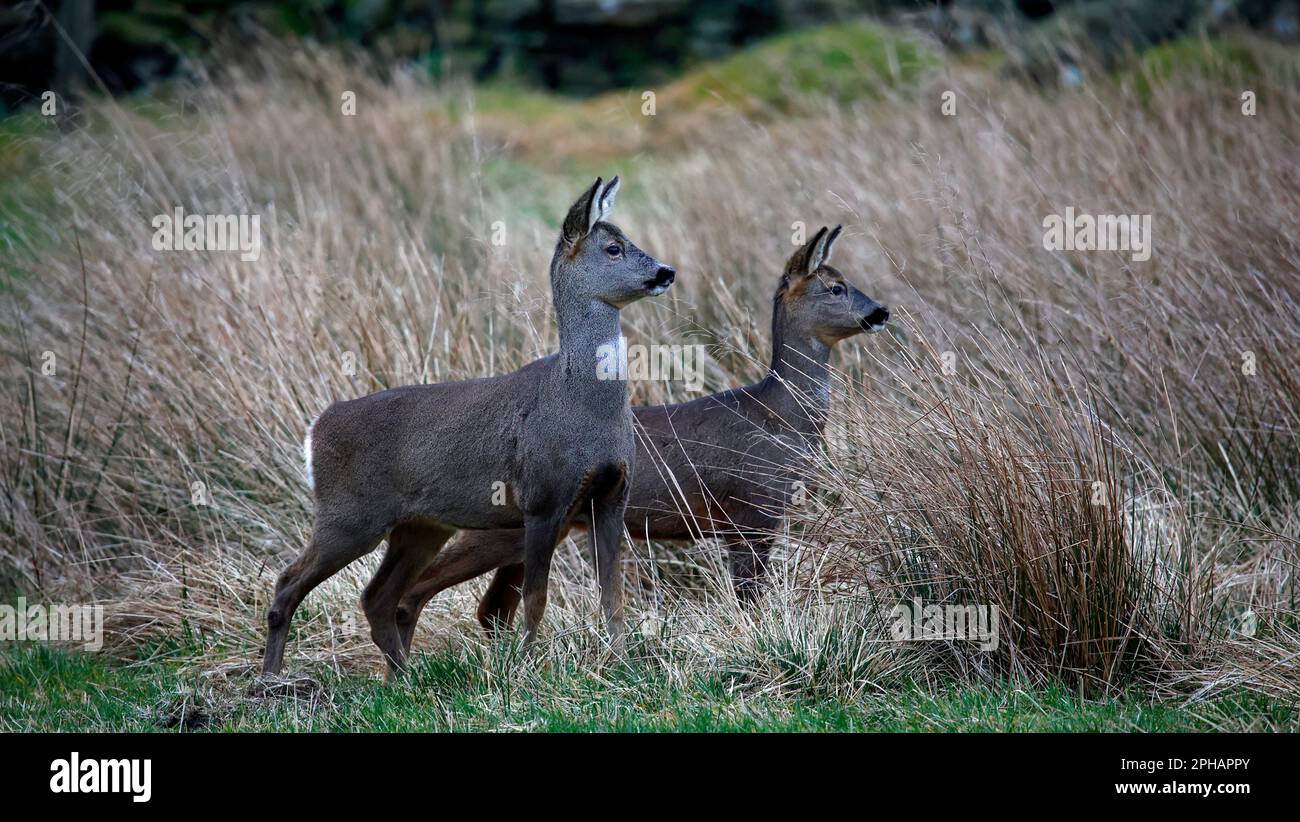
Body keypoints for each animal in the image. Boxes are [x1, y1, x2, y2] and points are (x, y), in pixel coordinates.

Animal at [261, 176, 676, 677]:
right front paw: (527, 667)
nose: (666, 272)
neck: (581, 406)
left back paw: (403, 678)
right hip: (348, 514)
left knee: (377, 596)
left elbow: (612, 599)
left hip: (419, 526)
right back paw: (270, 679)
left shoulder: (611, 496)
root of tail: (317, 427)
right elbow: (535, 599)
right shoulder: (542, 500)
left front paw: (619, 665)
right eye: (614, 248)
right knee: (289, 581)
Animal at [389, 225, 888, 650]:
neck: (779, 420)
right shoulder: (750, 510)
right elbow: (751, 600)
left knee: (491, 608)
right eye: (835, 288)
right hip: (506, 521)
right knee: (424, 589)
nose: (880, 312)